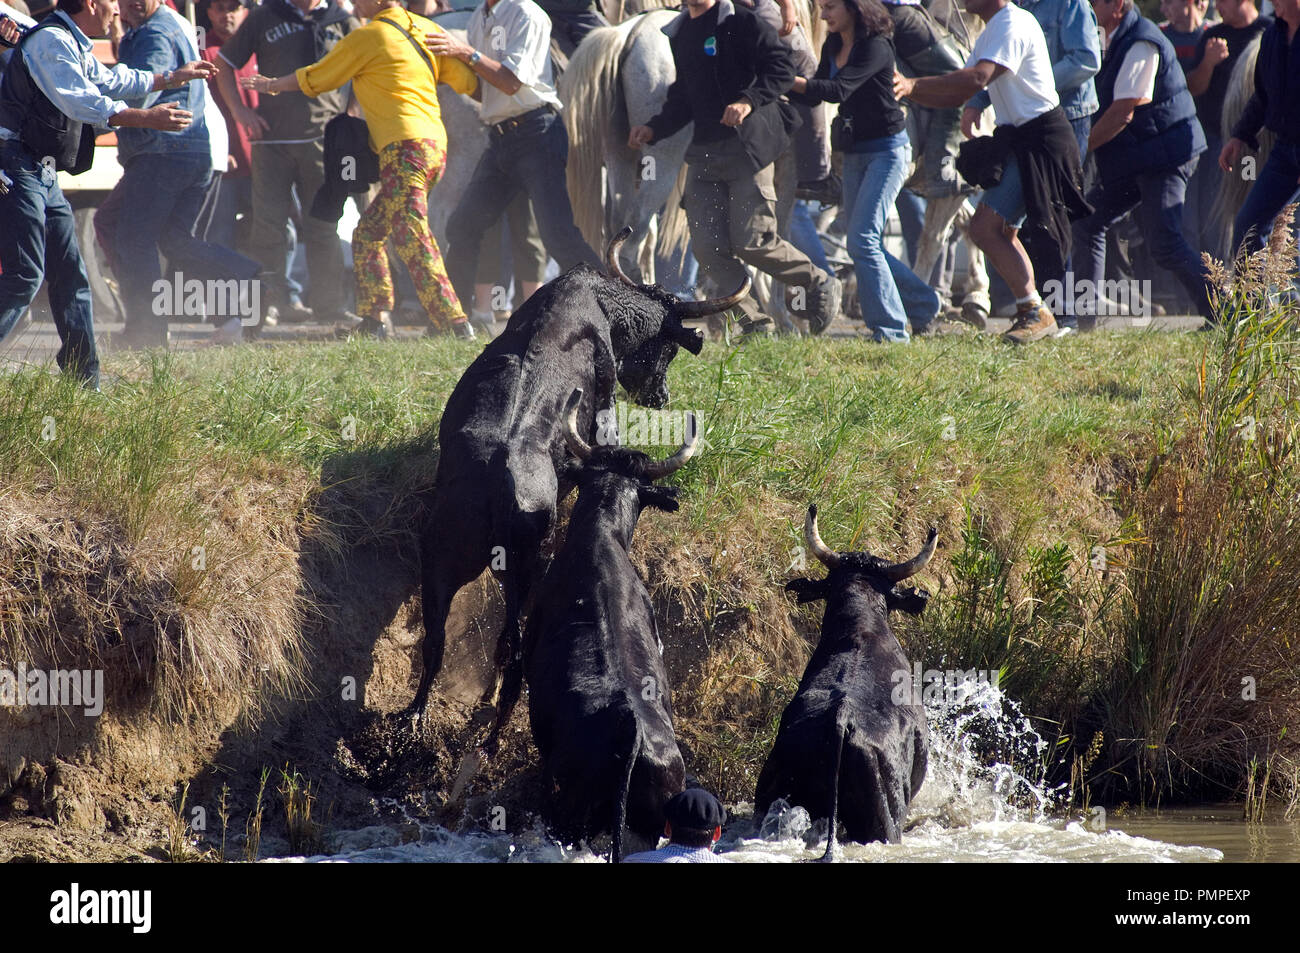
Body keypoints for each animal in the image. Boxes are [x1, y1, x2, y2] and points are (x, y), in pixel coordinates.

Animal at [411, 229, 747, 750]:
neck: (598, 305)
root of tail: (495, 480)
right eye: (667, 350)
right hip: (523, 569)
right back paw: (489, 726)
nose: (661, 397)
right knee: (510, 651)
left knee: (436, 641)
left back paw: (414, 719)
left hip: (441, 559)